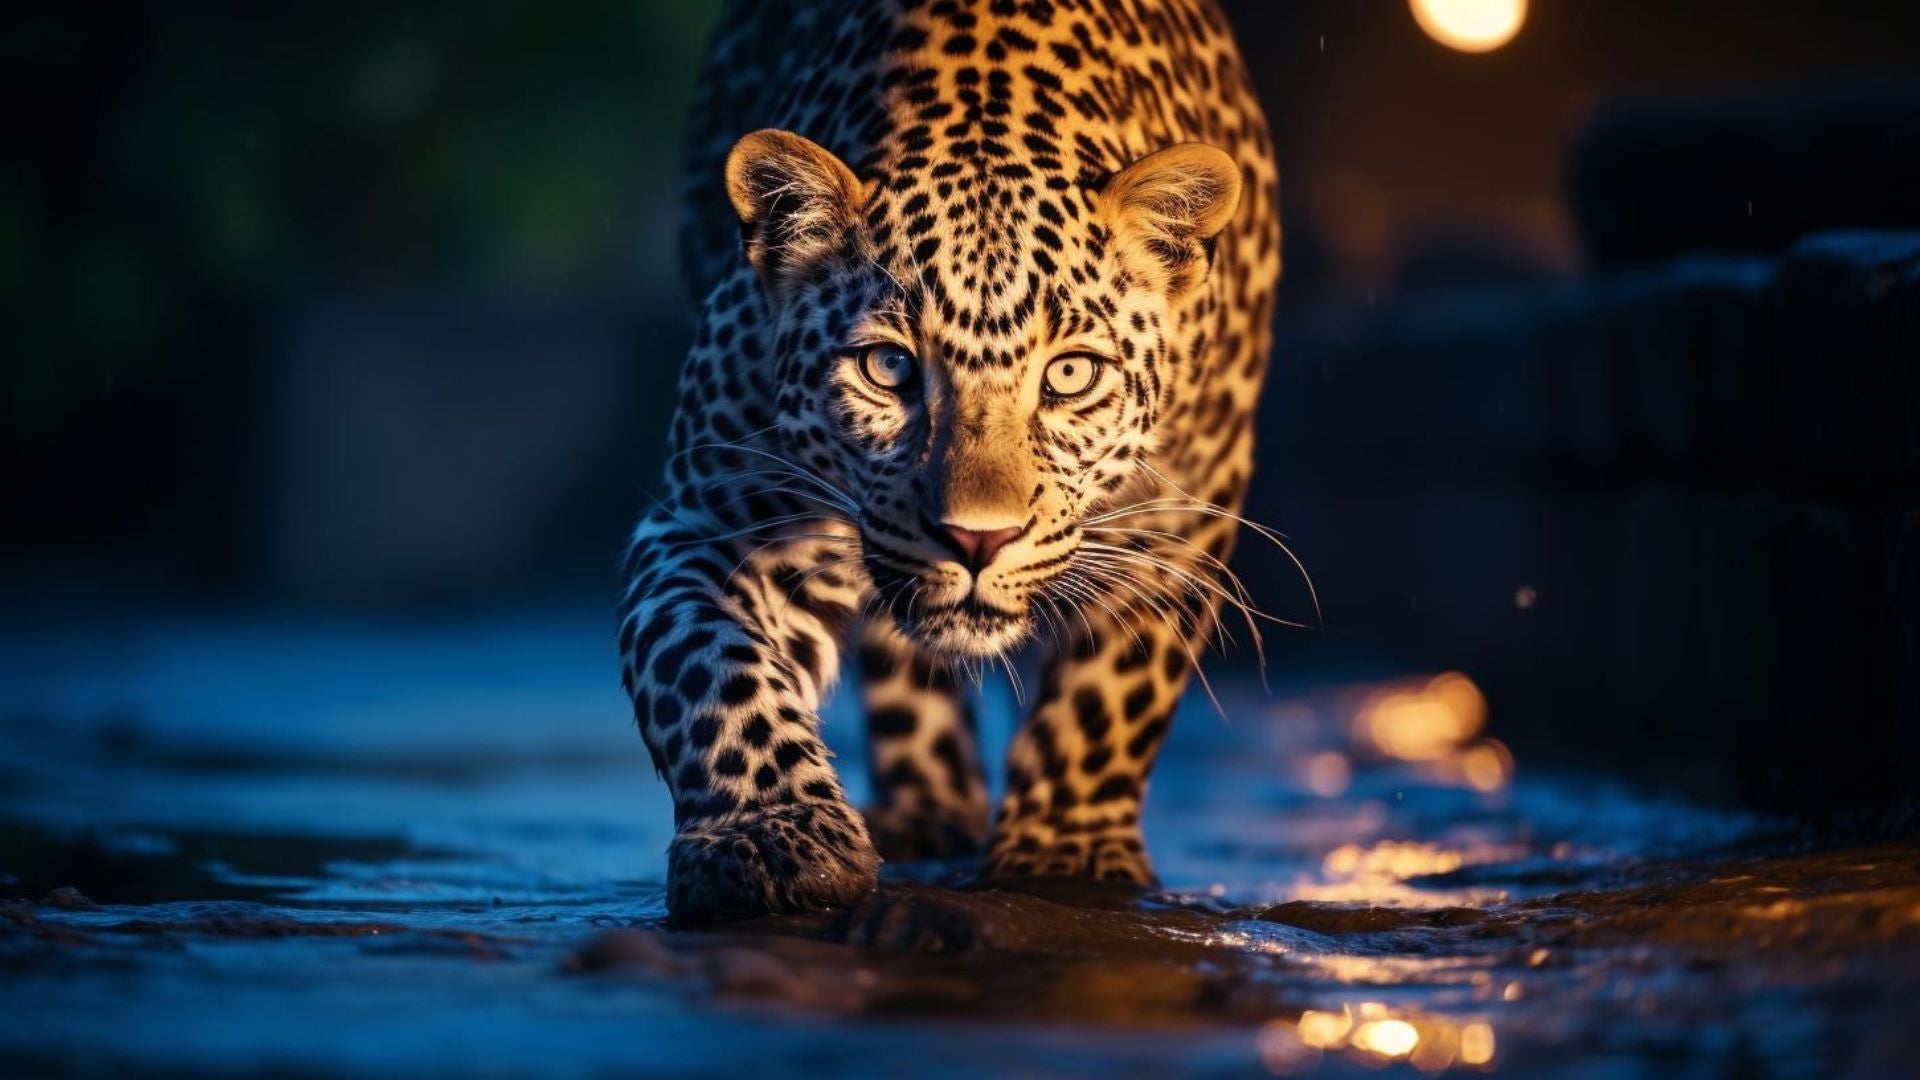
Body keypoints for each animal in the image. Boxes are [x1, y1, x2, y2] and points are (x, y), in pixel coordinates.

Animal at [619, 0, 1280, 922]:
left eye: (1070, 374)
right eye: (888, 367)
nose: (978, 540)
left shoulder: (1177, 520)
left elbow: (1114, 688)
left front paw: (1066, 854)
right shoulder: (708, 517)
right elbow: (706, 668)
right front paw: (772, 839)